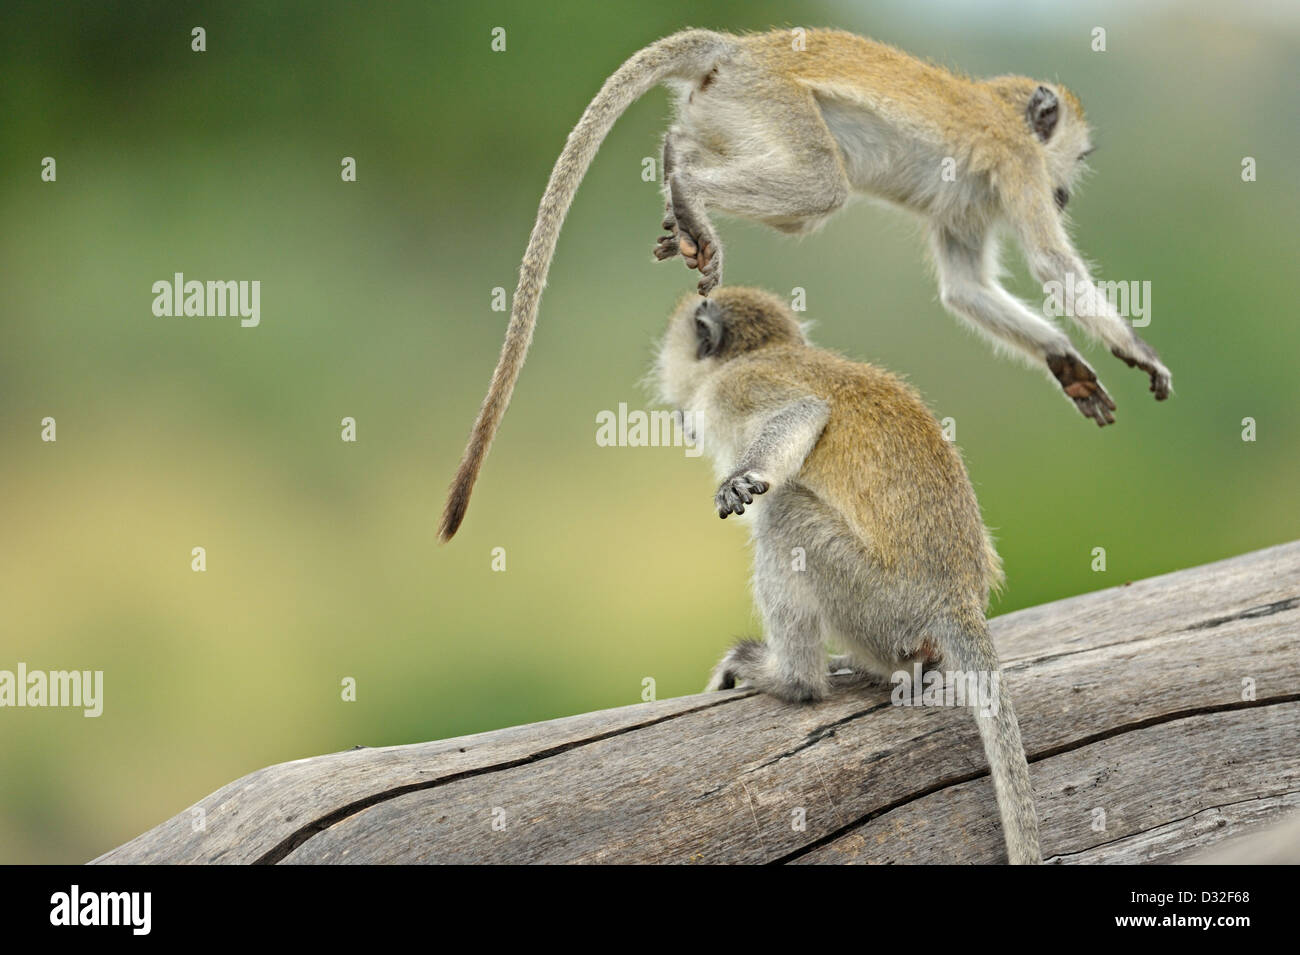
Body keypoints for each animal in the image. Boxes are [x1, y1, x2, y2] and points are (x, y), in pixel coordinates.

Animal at [438, 27, 1170, 541]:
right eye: (1074, 158)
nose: (1066, 192)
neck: (999, 105)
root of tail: (737, 50)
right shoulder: (1017, 163)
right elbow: (1052, 265)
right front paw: (1134, 350)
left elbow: (964, 290)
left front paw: (1065, 361)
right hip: (769, 103)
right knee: (820, 187)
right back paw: (689, 187)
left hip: (726, 114)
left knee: (735, 164)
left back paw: (678, 183)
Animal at [653, 286, 1040, 864]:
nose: (679, 417)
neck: (766, 350)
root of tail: (956, 597)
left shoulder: (732, 387)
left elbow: (802, 412)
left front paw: (742, 477)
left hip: (875, 598)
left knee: (784, 515)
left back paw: (793, 679)